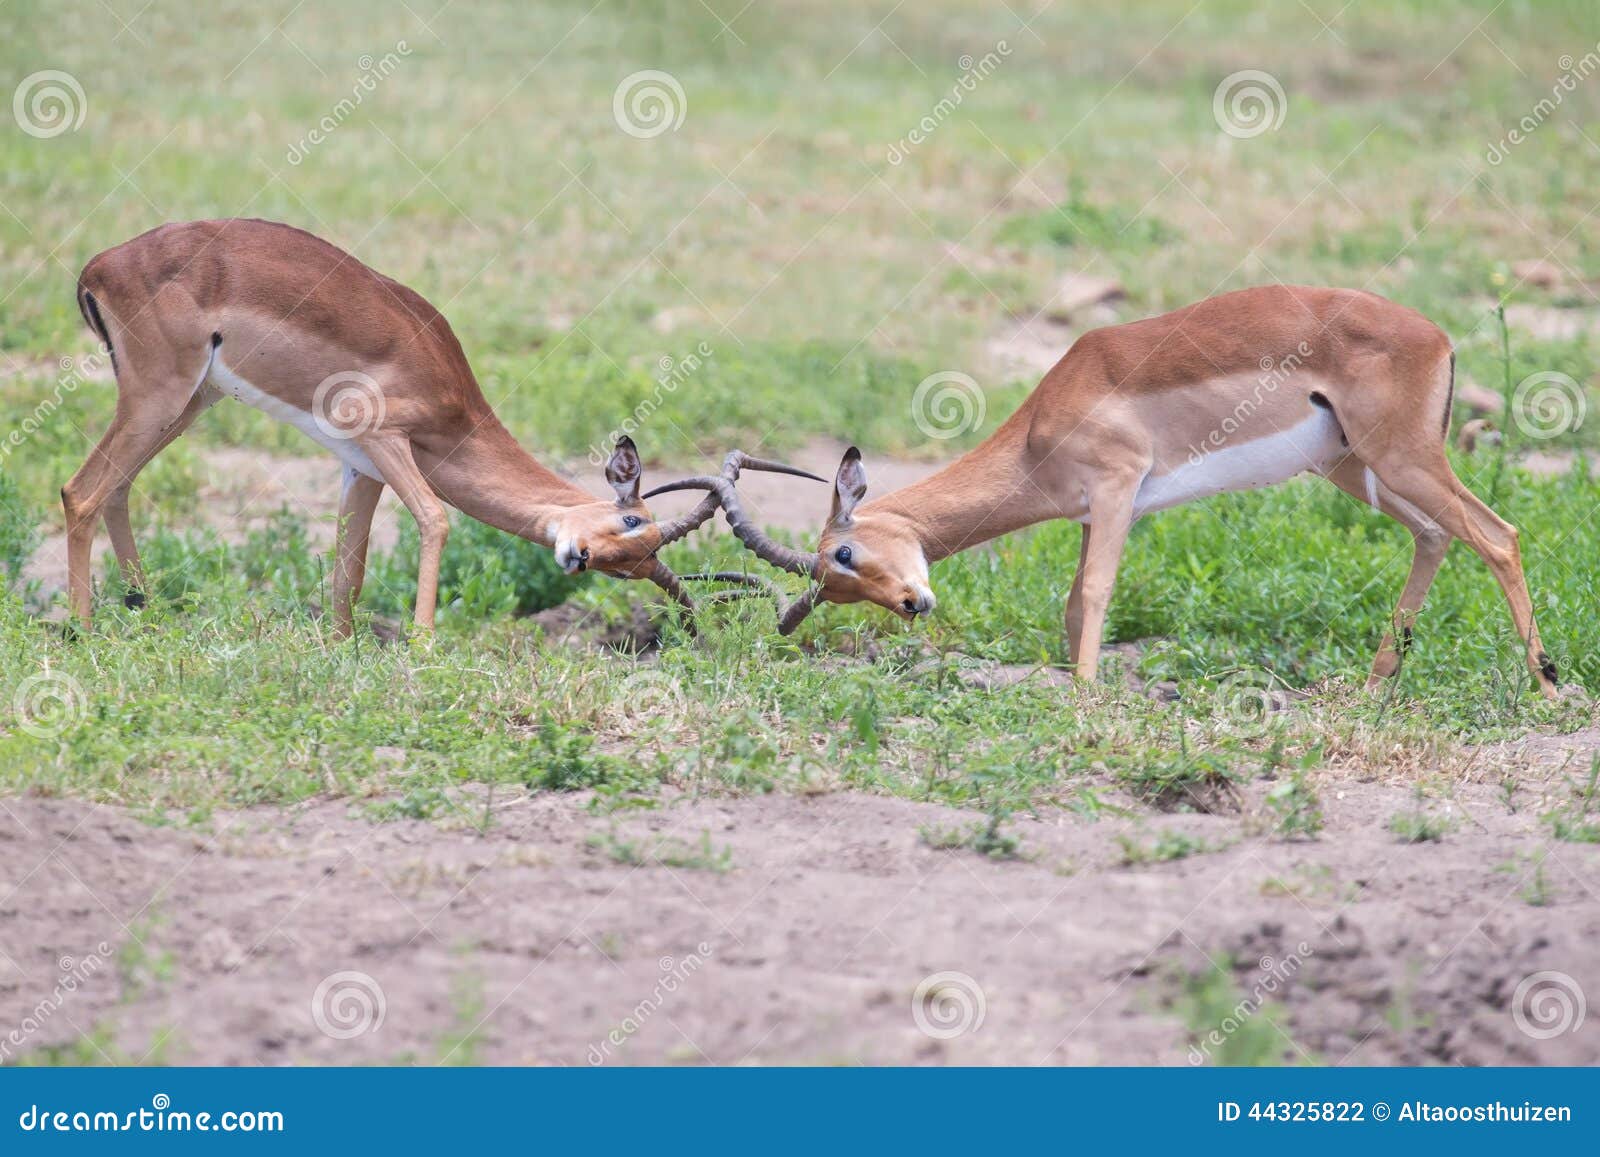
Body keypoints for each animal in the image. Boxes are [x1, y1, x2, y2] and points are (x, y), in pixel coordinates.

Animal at [66, 218, 805, 634]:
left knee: (117, 489)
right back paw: (82, 631)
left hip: (192, 401)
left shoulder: (359, 468)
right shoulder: (380, 437)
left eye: (633, 568)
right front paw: (422, 646)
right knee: (82, 492)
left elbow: (348, 576)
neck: (456, 409)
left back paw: (148, 613)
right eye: (630, 522)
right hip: (161, 394)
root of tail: (98, 265)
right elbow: (435, 520)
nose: (579, 557)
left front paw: (343, 649)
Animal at [665, 285, 1559, 698]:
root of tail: (1437, 334)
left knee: (1499, 534)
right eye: (833, 585)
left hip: (1401, 458)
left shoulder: (1120, 486)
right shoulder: (1094, 511)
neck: (1044, 418)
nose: (914, 604)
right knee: (1437, 536)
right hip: (1353, 467)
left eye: (845, 551)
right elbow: (1070, 601)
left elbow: (1095, 592)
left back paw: (1547, 685)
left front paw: (1088, 694)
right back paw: (1372, 684)